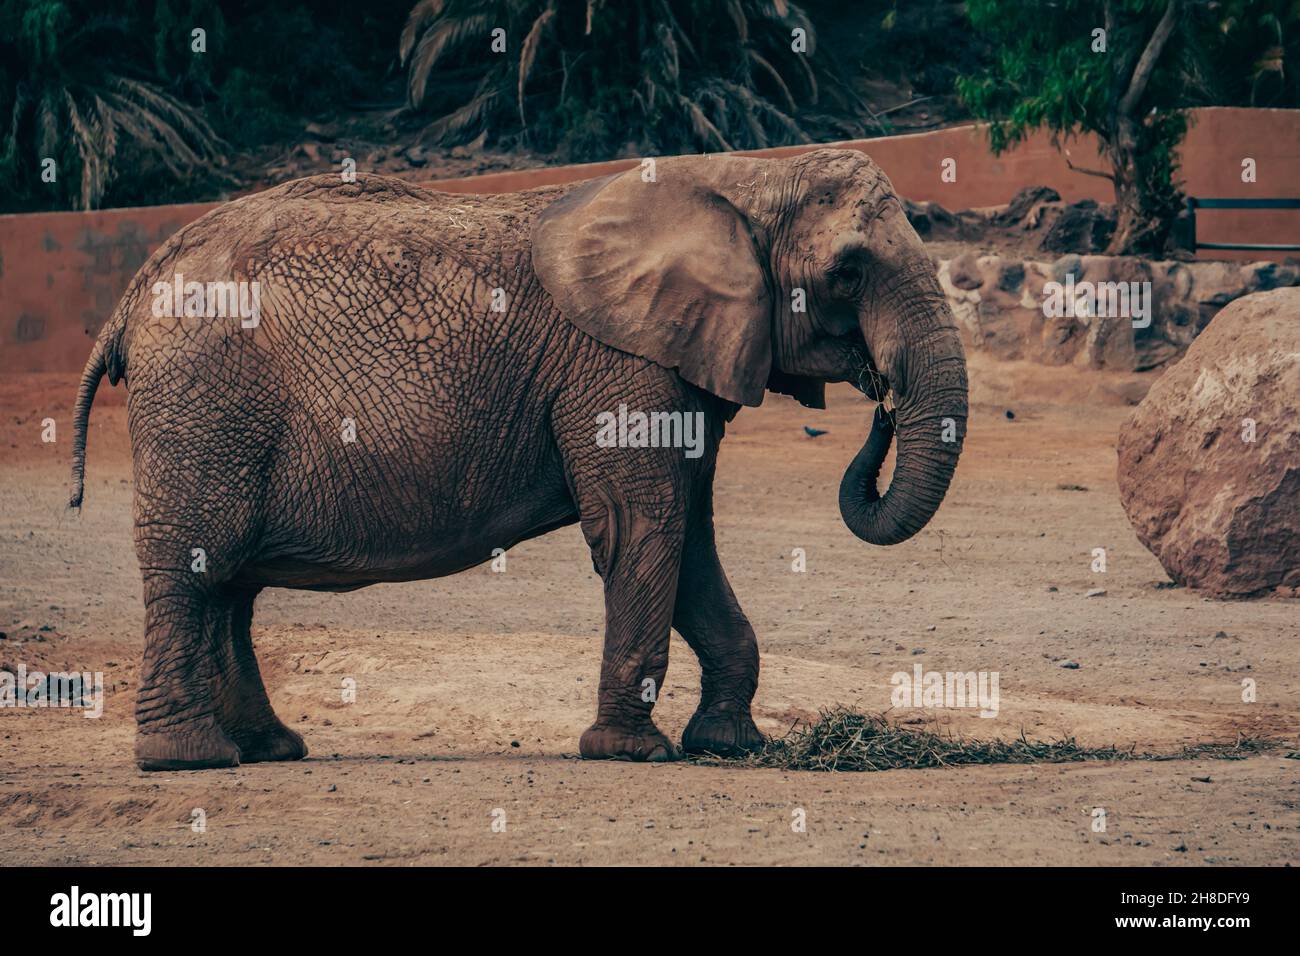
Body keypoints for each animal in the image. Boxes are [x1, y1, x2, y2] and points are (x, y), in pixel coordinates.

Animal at [69, 148, 968, 771]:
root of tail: (133, 292)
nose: (881, 402)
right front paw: (632, 753)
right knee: (196, 567)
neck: (748, 179)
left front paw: (730, 744)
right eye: (848, 271)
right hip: (203, 402)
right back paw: (191, 761)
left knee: (229, 584)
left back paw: (268, 749)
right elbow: (643, 525)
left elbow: (690, 534)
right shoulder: (619, 363)